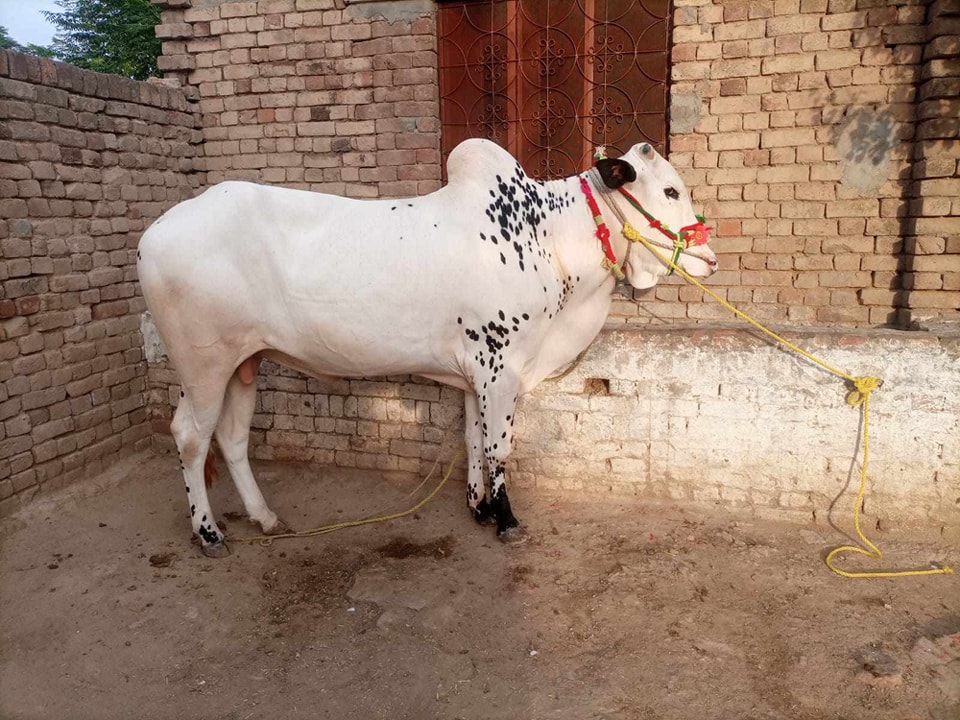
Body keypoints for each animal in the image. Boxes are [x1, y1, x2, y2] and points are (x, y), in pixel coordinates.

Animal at [137, 139, 717, 557]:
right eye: (670, 191)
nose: (709, 258)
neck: (547, 239)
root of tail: (154, 231)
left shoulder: (476, 374)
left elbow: (472, 439)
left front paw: (479, 507)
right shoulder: (500, 368)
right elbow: (498, 447)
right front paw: (507, 520)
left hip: (245, 362)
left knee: (232, 439)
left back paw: (265, 517)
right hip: (203, 364)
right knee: (191, 437)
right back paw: (209, 534)